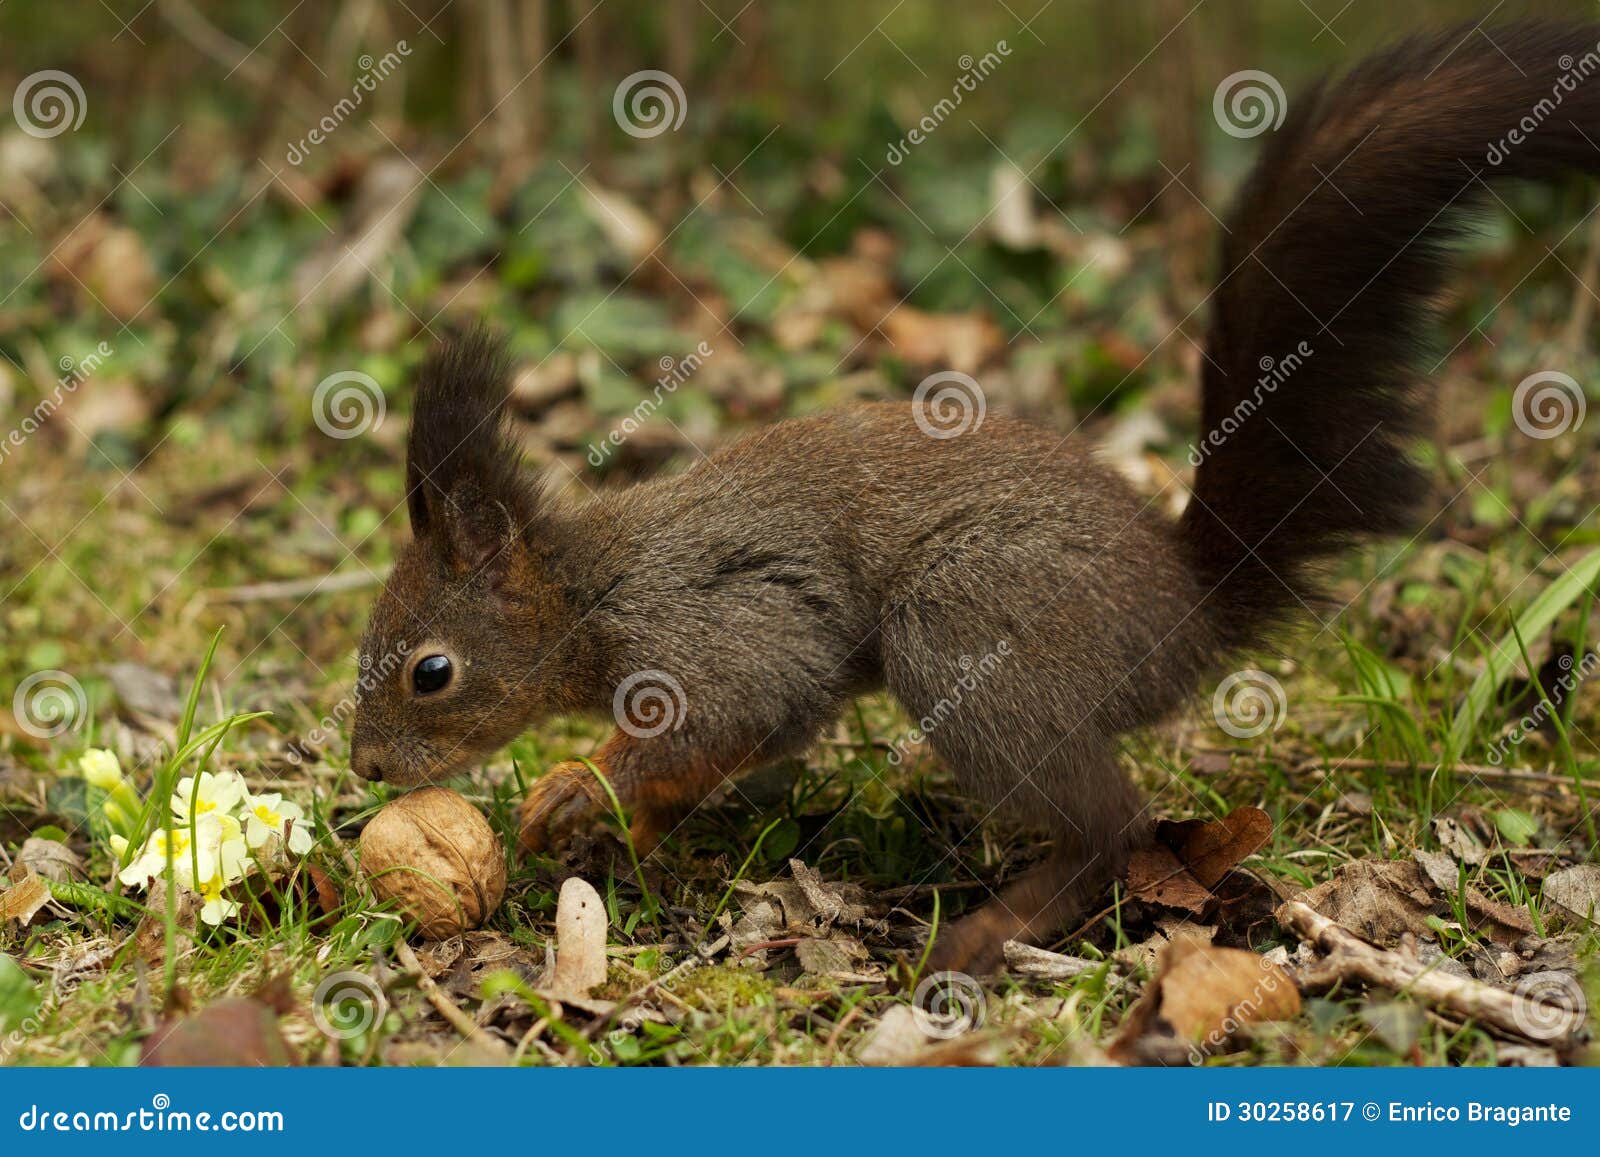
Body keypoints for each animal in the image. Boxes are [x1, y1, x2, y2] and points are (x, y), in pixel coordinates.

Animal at [350, 22, 1600, 973]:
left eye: (430, 671)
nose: (364, 767)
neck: (588, 591)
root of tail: (1186, 615)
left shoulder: (711, 623)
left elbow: (731, 706)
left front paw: (575, 784)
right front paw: (621, 820)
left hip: (966, 620)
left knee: (1109, 824)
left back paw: (987, 931)